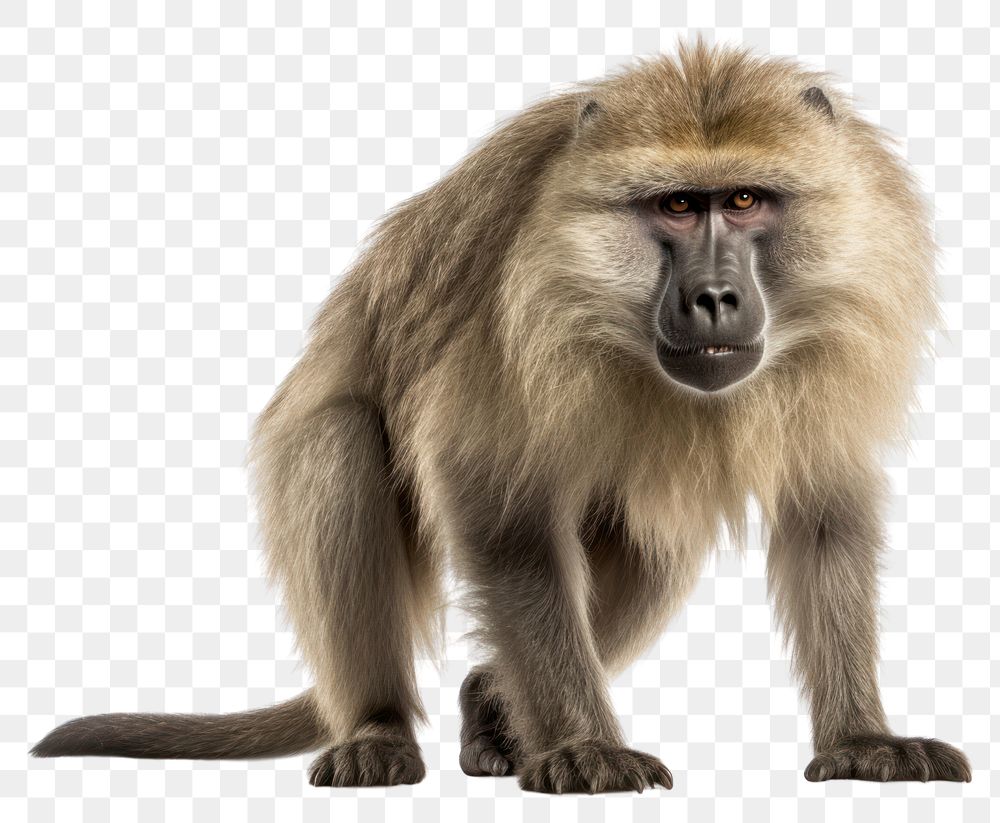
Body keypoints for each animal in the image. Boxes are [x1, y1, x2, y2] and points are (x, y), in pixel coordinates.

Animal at [32, 42, 972, 793]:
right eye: (676, 206)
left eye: (745, 201)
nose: (713, 297)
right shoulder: (519, 326)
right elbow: (505, 513)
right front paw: (586, 743)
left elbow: (824, 514)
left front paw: (860, 734)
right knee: (339, 446)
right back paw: (378, 726)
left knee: (658, 542)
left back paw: (493, 702)